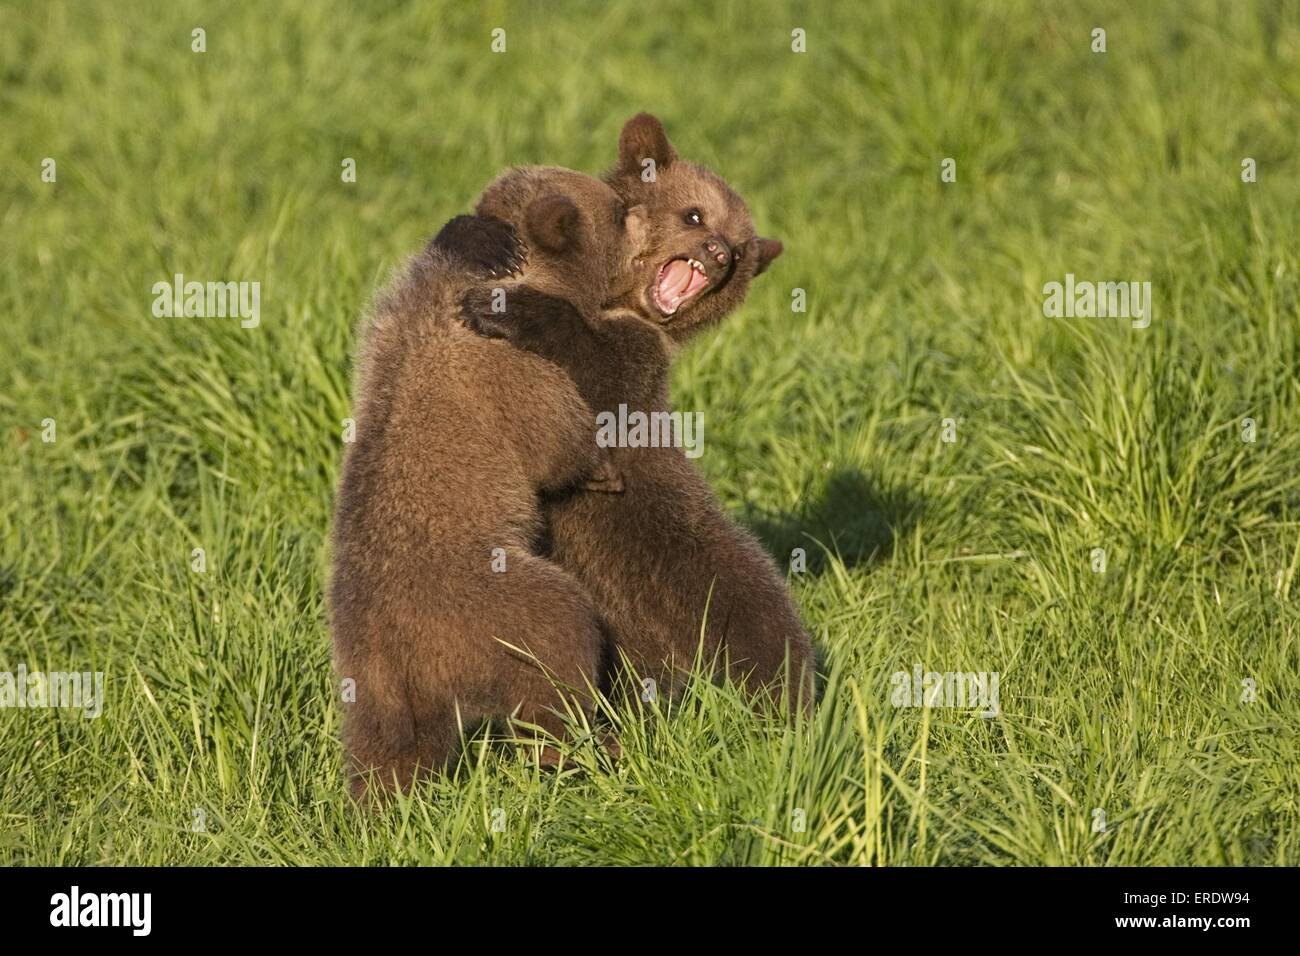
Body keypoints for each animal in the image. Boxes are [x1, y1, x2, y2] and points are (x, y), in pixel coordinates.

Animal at [329, 166, 647, 799]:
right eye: (620, 210)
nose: (645, 215)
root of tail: (389, 661)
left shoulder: (393, 316)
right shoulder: (509, 368)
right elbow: (552, 439)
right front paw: (601, 467)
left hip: (372, 687)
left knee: (389, 752)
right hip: (488, 602)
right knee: (557, 643)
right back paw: (587, 744)